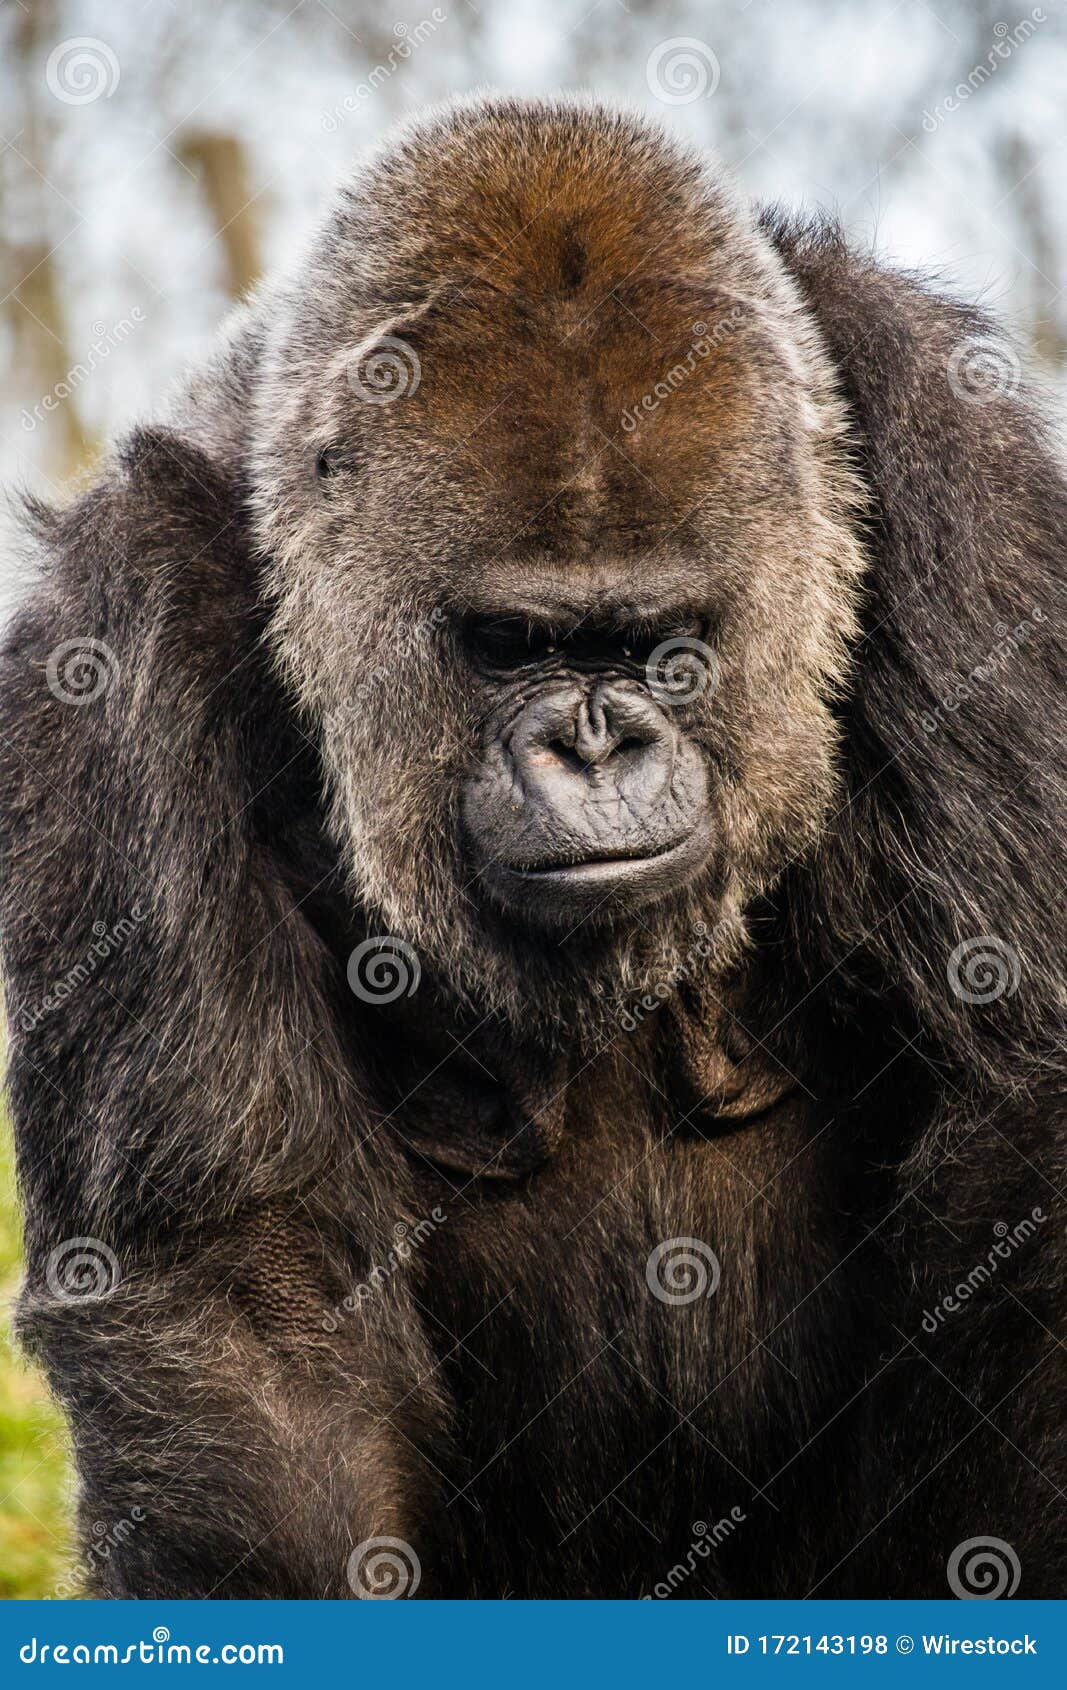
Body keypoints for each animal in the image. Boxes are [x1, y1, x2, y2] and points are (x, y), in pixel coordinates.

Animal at [0, 94, 1063, 1599]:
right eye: (508, 644)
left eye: (656, 643)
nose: (595, 745)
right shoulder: (116, 619)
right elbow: (243, 1302)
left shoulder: (949, 461)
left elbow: (1027, 1113)